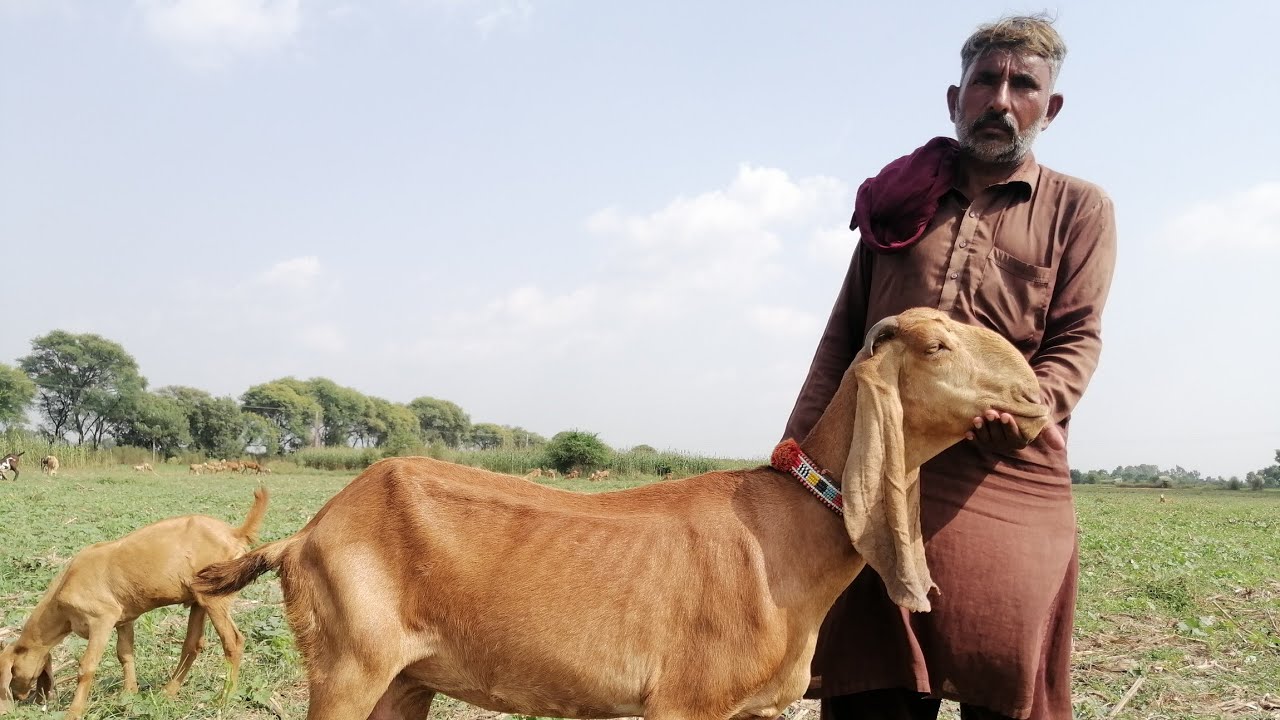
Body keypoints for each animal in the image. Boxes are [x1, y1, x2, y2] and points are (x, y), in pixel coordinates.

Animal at [1, 488, 269, 720]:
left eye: (10, 673)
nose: (18, 696)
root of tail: (234, 532)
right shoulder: (124, 619)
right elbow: (125, 654)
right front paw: (129, 694)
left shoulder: (102, 618)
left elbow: (87, 666)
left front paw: (74, 712)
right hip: (200, 598)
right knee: (192, 645)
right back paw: (168, 692)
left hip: (216, 597)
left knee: (233, 641)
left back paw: (224, 698)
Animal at [193, 308, 1051, 720]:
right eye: (939, 345)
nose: (1035, 394)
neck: (790, 532)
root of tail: (306, 533)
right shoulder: (685, 704)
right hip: (347, 663)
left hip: (405, 680)